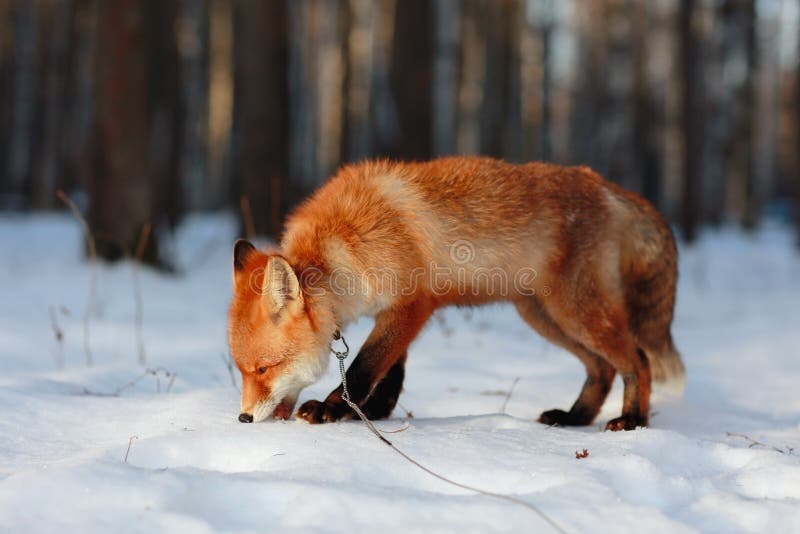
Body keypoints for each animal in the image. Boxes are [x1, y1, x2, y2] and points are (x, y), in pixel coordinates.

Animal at [228, 157, 684, 430]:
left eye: (263, 369)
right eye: (243, 371)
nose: (244, 418)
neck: (347, 244)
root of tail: (605, 184)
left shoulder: (413, 304)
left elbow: (364, 367)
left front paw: (334, 408)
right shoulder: (394, 312)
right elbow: (391, 370)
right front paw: (372, 412)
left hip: (575, 312)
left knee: (638, 360)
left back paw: (633, 421)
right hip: (545, 317)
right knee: (602, 369)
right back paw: (575, 417)